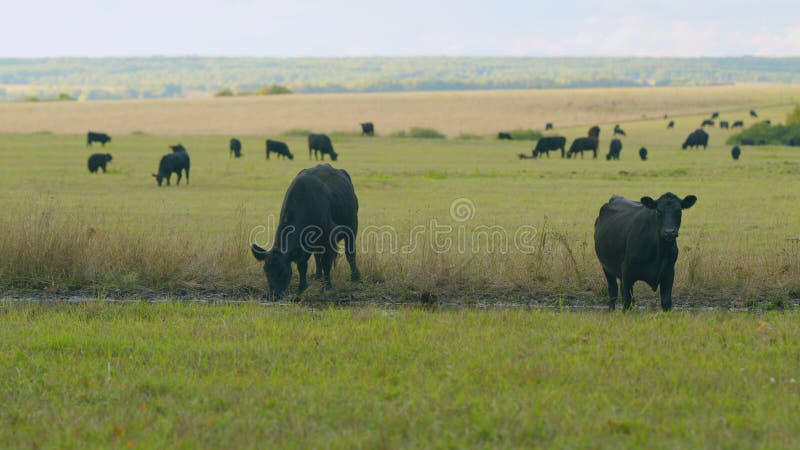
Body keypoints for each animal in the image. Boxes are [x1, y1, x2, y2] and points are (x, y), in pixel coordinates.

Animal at [251, 164, 361, 299]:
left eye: (283, 271)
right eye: (266, 271)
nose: (274, 295)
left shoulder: (329, 236)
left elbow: (327, 262)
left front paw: (328, 286)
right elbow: (302, 264)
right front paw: (302, 287)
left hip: (352, 226)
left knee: (350, 253)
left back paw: (355, 276)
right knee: (317, 256)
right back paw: (318, 276)